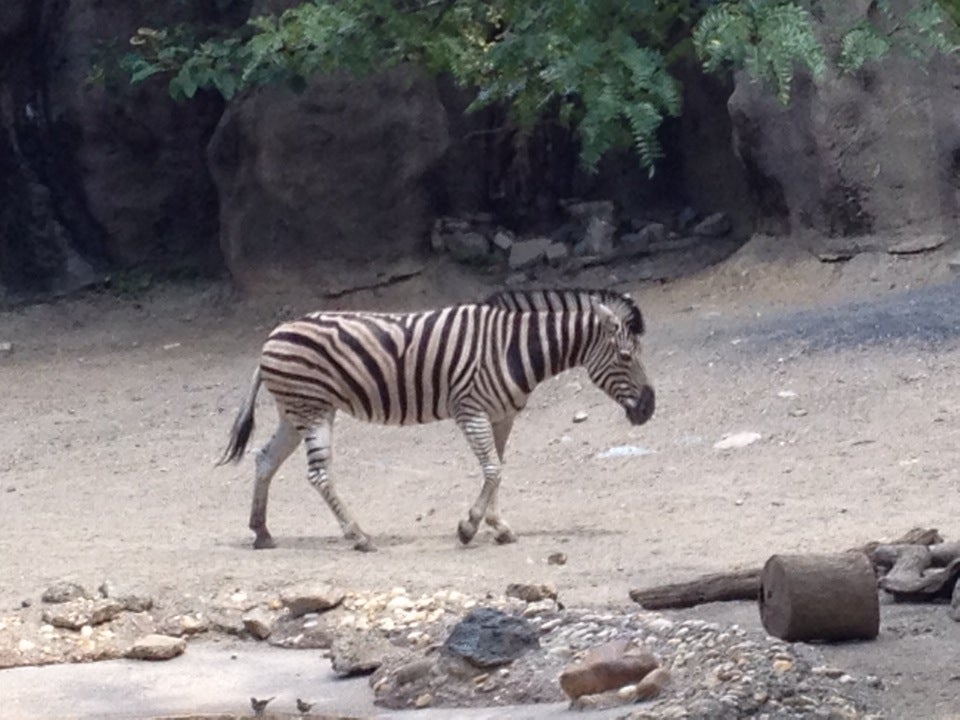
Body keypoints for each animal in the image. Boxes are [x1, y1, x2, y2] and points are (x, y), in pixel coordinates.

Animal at [218, 288, 655, 551]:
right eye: (626, 357)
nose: (649, 409)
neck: (513, 350)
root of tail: (273, 335)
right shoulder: (471, 410)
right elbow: (493, 469)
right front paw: (469, 527)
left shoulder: (502, 416)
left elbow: (498, 469)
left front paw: (498, 525)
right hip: (313, 410)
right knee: (319, 474)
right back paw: (359, 536)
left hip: (295, 411)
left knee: (265, 459)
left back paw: (262, 532)